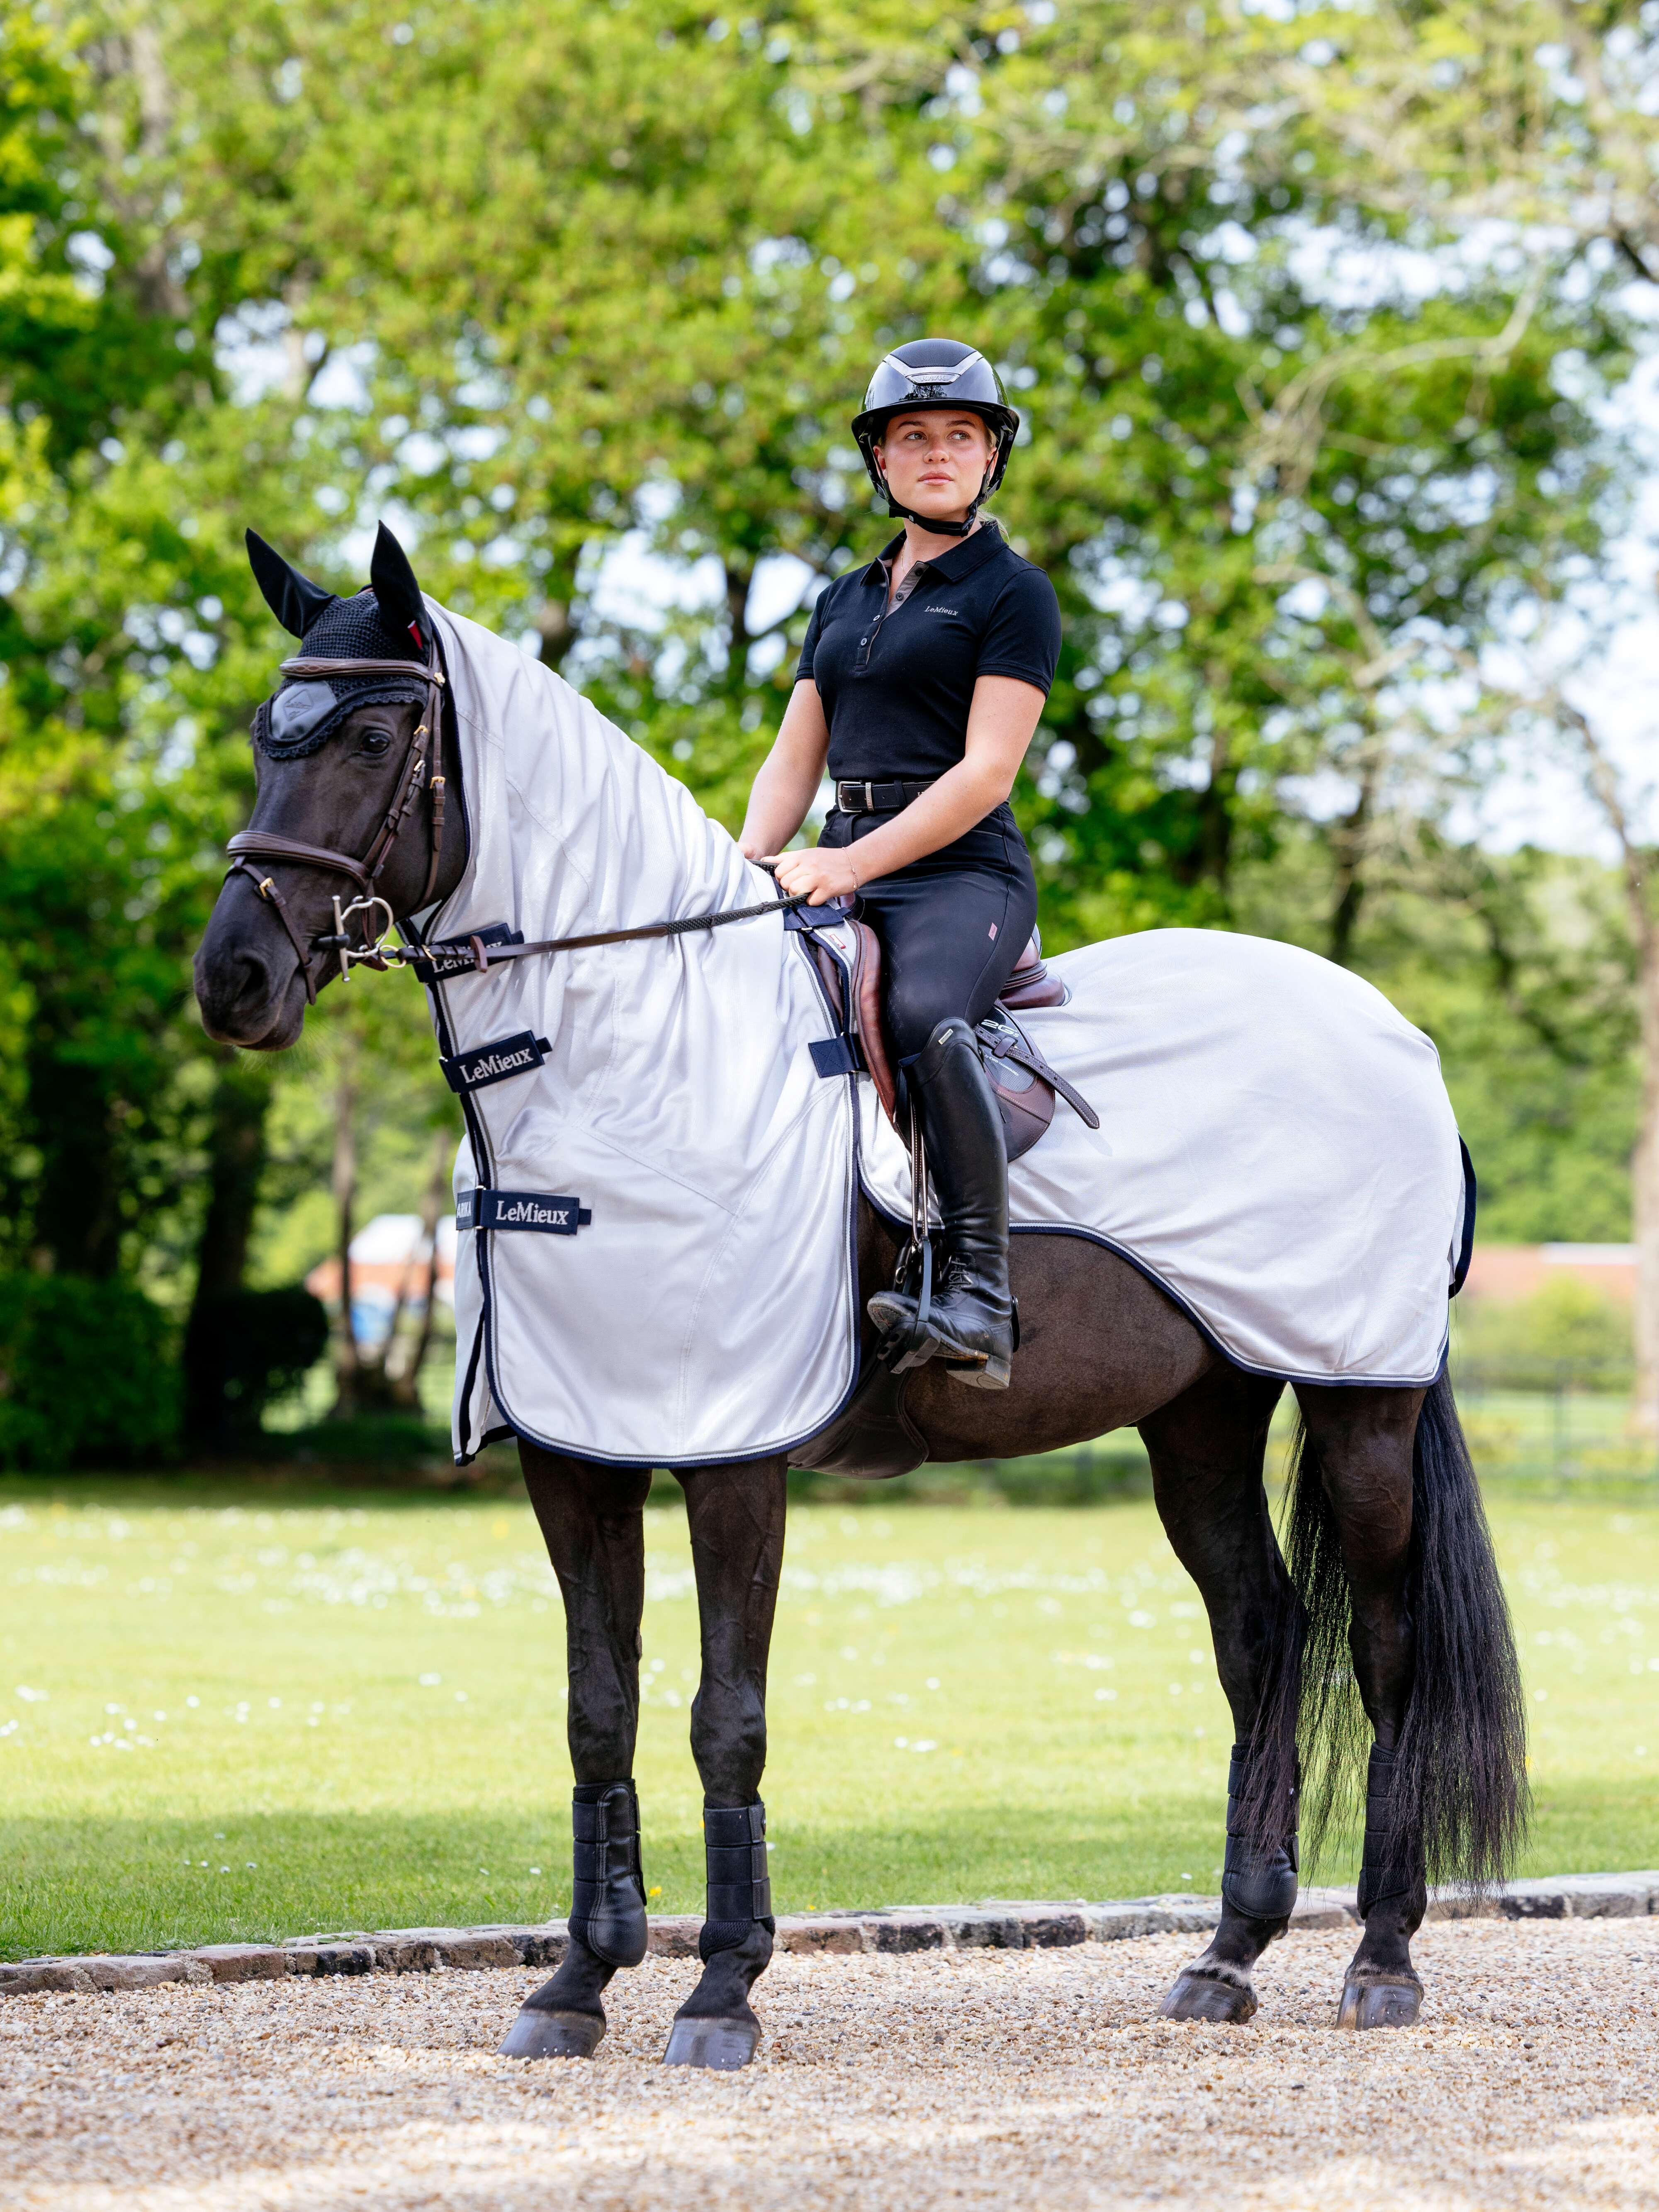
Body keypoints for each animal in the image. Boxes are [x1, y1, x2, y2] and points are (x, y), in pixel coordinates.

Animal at [193, 524, 1526, 2069]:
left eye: (367, 732)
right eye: (262, 731)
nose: (233, 978)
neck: (627, 1061)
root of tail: (1392, 1033)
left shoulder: (734, 1453)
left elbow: (726, 1715)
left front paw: (720, 1989)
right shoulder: (577, 1452)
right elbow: (597, 1710)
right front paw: (576, 1983)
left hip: (1362, 1398)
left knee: (1385, 1651)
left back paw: (1381, 1957)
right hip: (1200, 1414)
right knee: (1260, 1640)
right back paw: (1226, 1955)